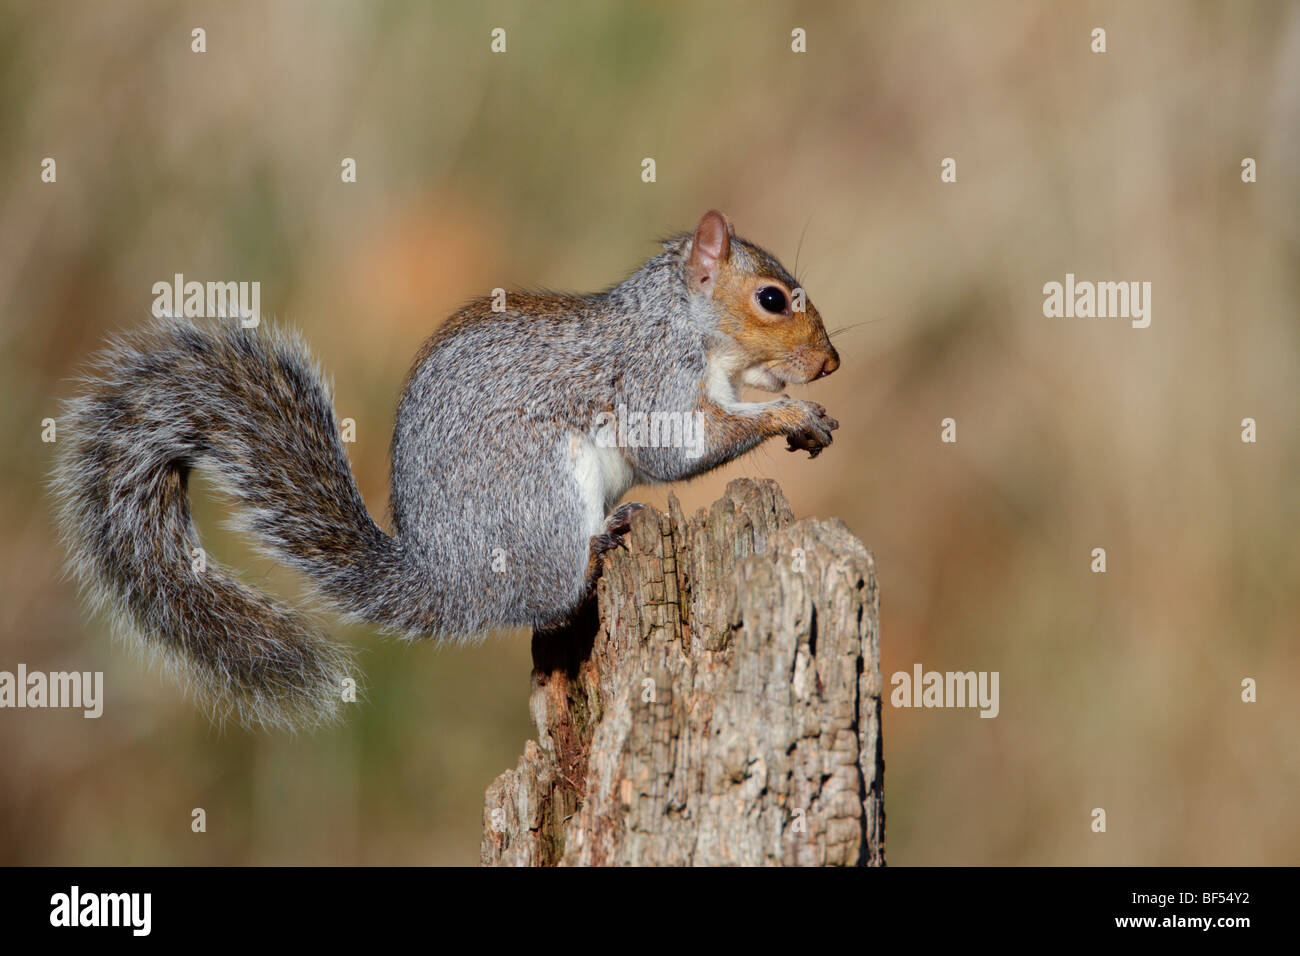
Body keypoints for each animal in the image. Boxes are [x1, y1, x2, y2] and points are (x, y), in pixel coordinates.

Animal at [51, 210, 840, 730]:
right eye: (772, 299)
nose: (831, 363)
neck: (684, 323)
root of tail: (450, 581)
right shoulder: (653, 377)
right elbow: (675, 449)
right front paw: (789, 414)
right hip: (537, 497)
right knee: (554, 592)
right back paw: (598, 545)